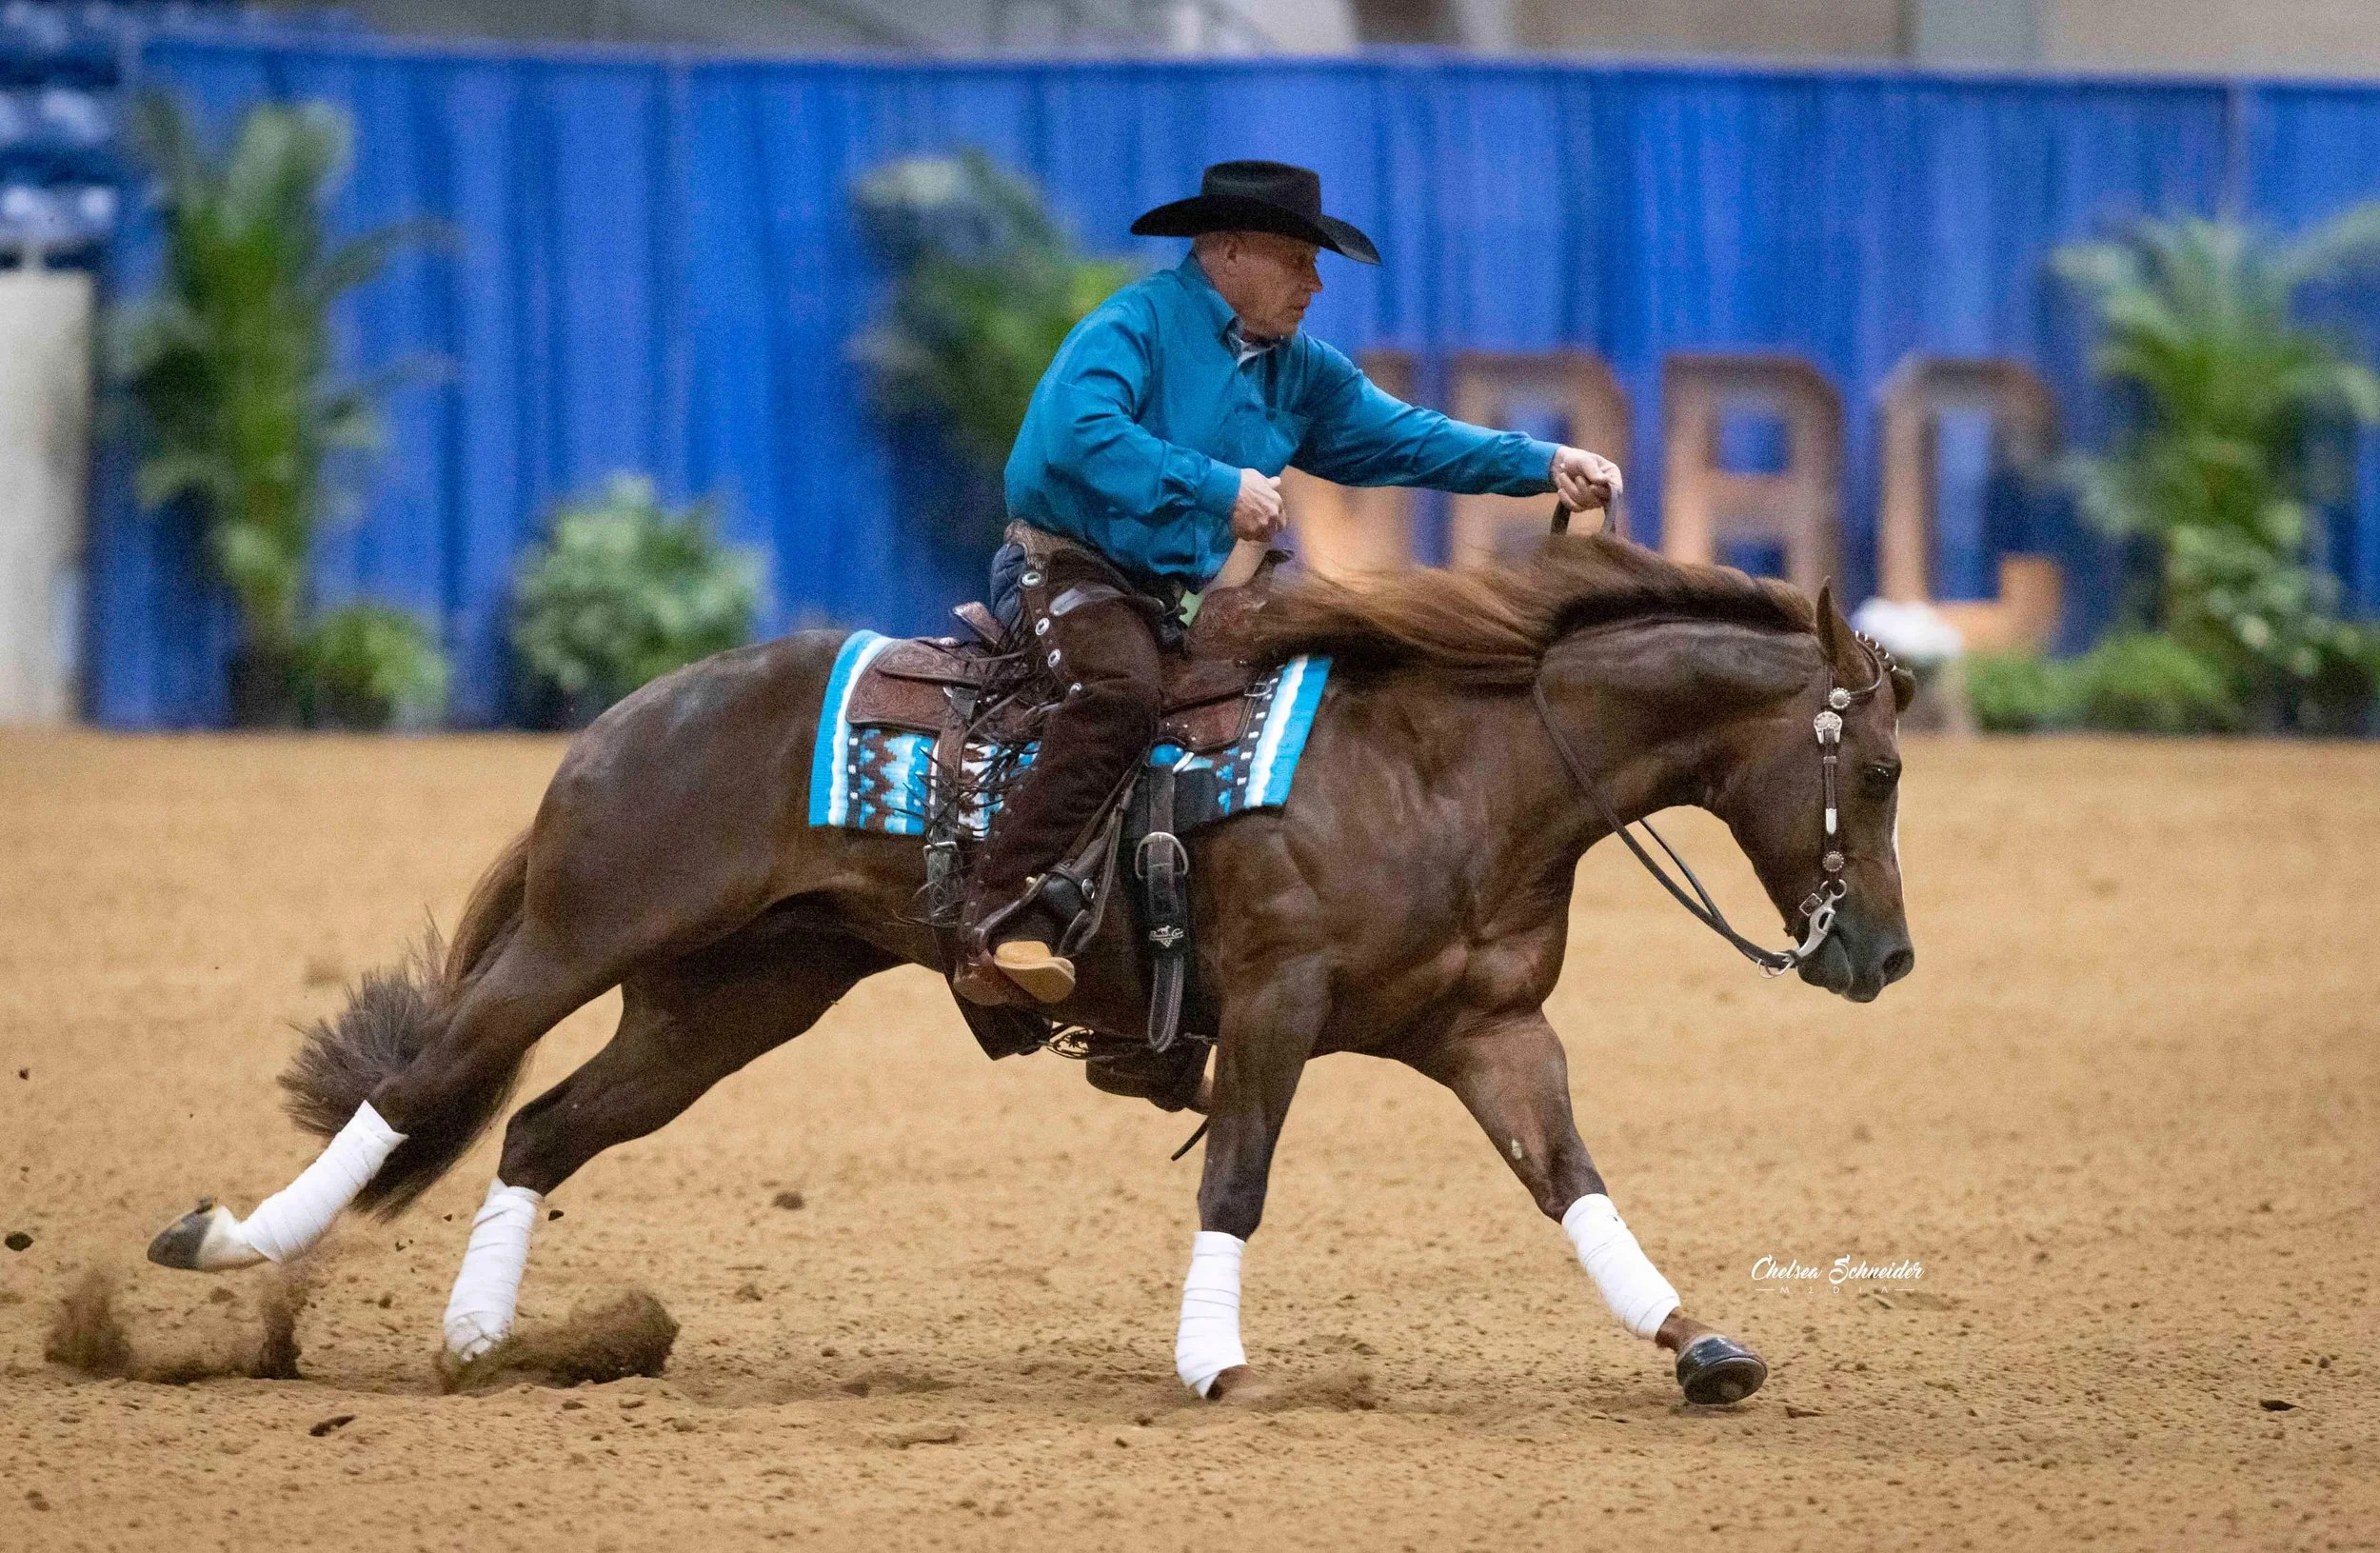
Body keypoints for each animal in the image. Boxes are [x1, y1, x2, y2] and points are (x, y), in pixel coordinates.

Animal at [147, 531, 1916, 1406]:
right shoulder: (1275, 1011)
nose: (1887, 954)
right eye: (1885, 769)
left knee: (535, 1128)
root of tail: (633, 709)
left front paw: (1701, 1345)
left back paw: (474, 1340)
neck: (1448, 768)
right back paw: (225, 1242)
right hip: (587, 934)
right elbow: (1241, 1178)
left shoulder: (1492, 1030)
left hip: (730, 999)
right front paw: (1211, 1358)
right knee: (427, 1080)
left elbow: (1574, 1181)